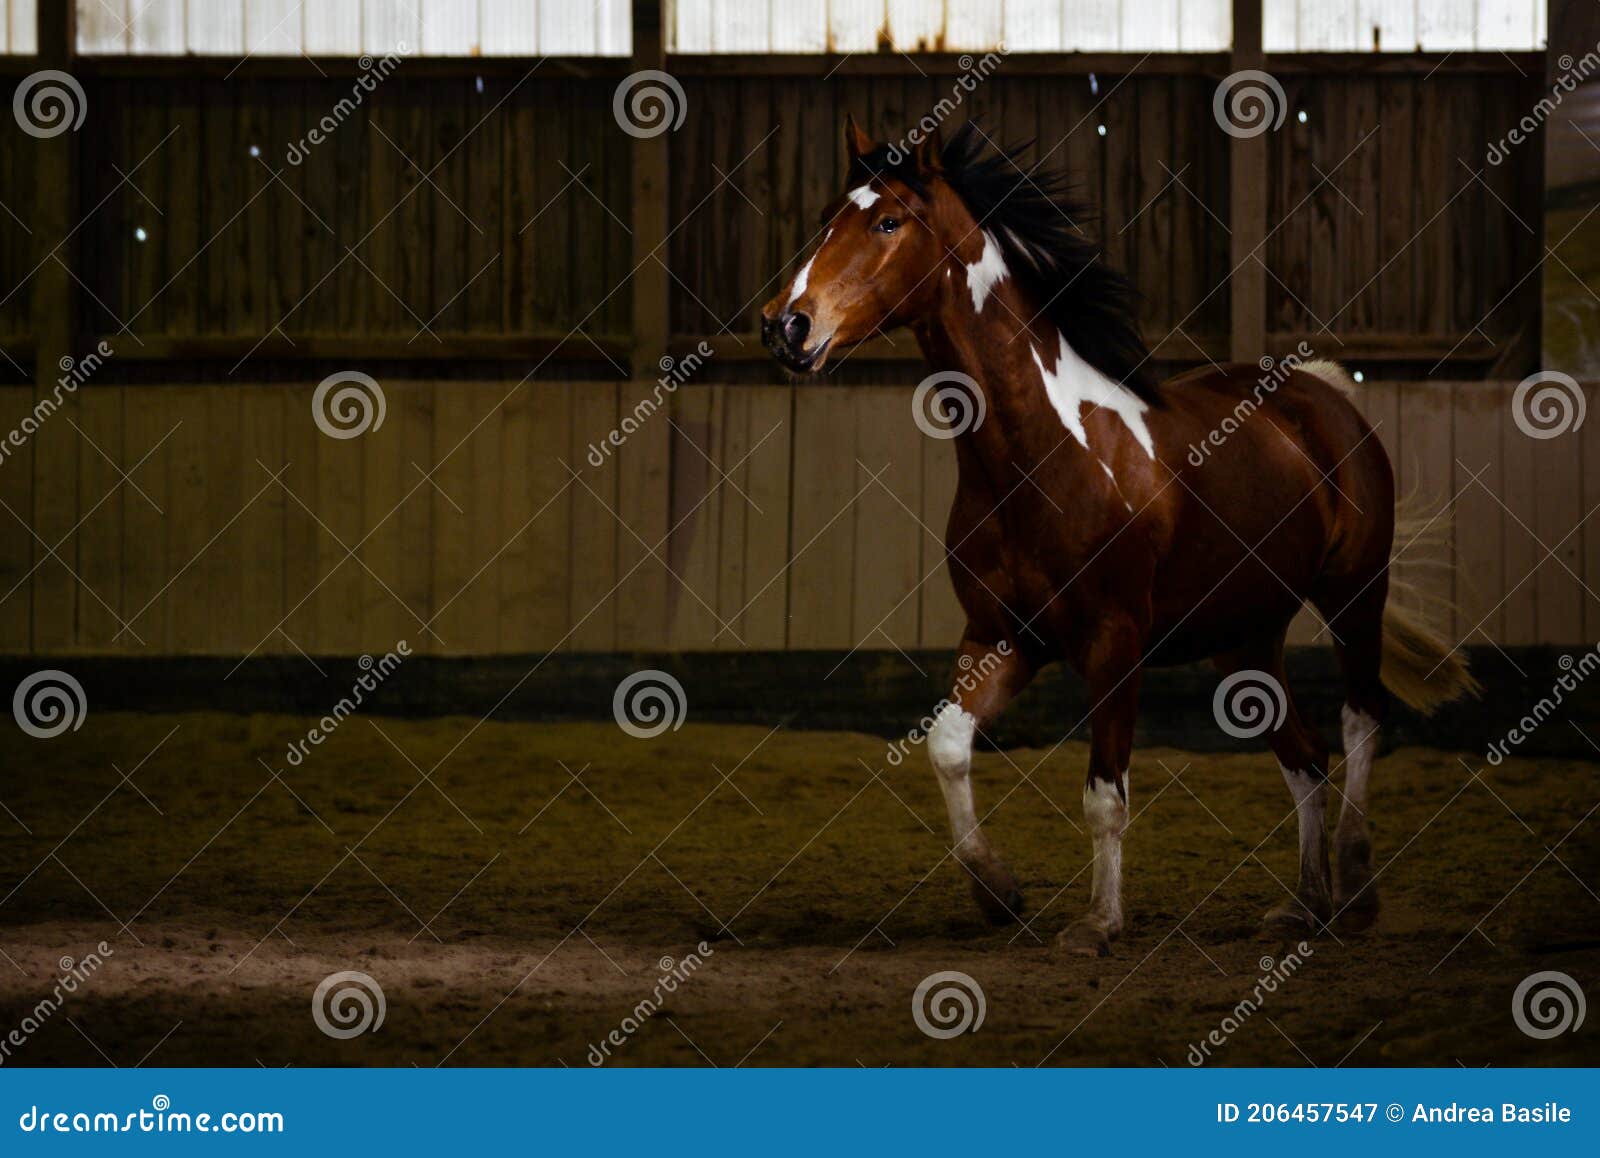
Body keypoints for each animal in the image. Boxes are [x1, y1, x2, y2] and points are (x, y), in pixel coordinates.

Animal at [760, 118, 1479, 956]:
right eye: (825, 217)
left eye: (886, 222)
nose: (786, 324)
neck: (1040, 454)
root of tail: (1326, 396)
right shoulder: (1002, 638)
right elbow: (946, 746)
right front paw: (998, 893)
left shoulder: (1116, 643)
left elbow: (1105, 793)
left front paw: (1098, 924)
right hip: (1246, 639)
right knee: (1306, 759)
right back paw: (1304, 904)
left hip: (1353, 595)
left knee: (1360, 720)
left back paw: (1357, 891)